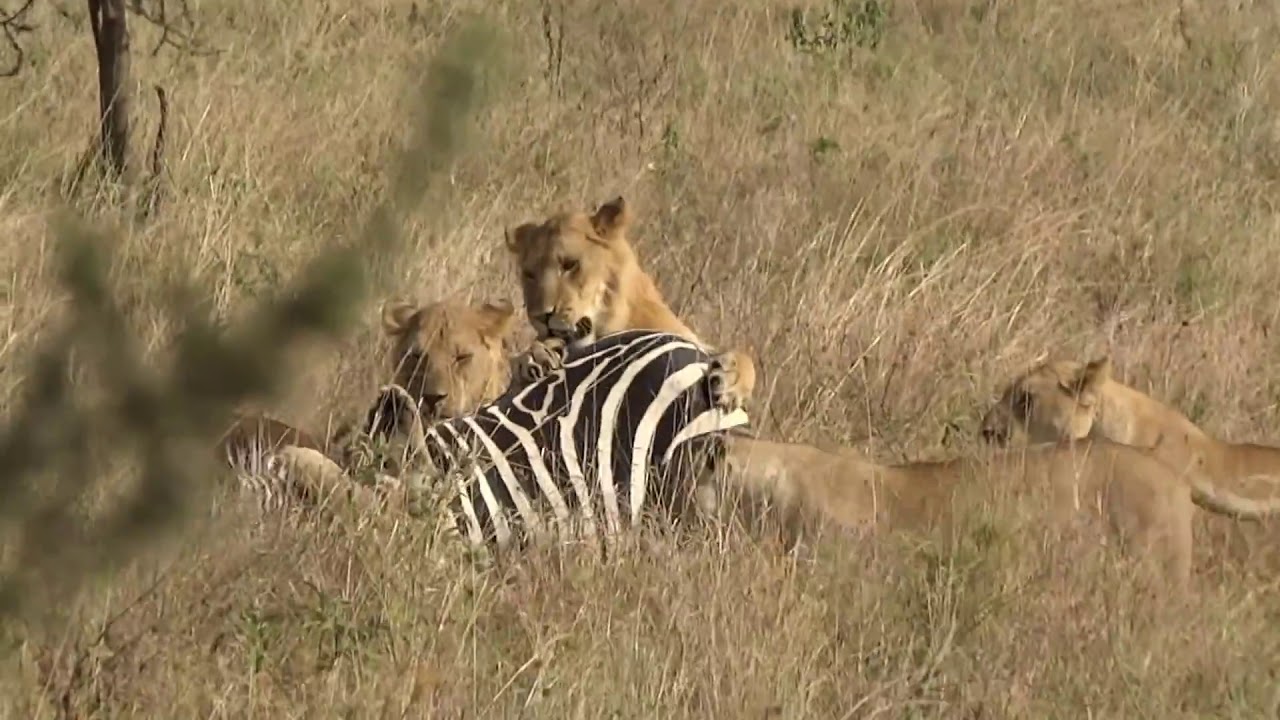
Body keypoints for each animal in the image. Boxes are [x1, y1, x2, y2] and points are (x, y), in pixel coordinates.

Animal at [502, 196, 756, 412]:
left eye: (570, 264)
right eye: (529, 274)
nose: (541, 317)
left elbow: (743, 357)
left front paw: (729, 377)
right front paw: (535, 356)